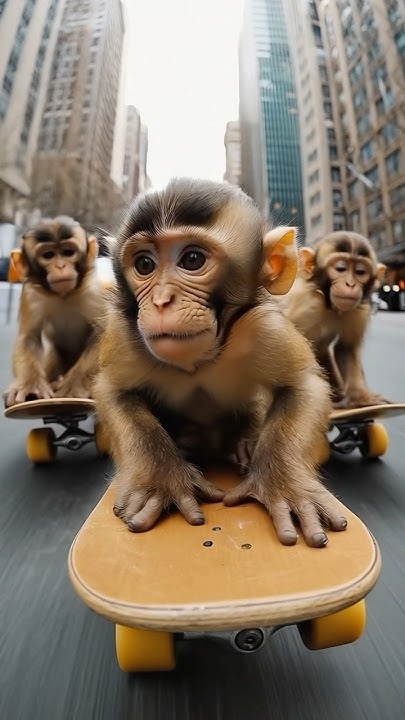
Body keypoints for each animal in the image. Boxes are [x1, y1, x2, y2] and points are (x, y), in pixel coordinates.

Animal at [4, 216, 107, 407]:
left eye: (68, 252)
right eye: (48, 255)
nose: (60, 266)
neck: (63, 296)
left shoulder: (96, 290)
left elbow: (105, 334)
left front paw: (72, 385)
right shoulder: (31, 293)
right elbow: (29, 337)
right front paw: (30, 385)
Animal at [93, 178, 348, 548]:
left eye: (192, 259)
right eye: (144, 265)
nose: (161, 301)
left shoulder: (262, 326)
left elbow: (303, 385)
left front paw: (284, 483)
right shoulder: (125, 332)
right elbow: (113, 390)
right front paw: (161, 479)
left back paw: (244, 443)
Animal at [284, 231, 387, 409]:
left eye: (360, 271)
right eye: (340, 268)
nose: (350, 284)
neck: (328, 305)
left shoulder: (358, 311)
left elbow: (346, 347)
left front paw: (360, 398)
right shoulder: (305, 304)